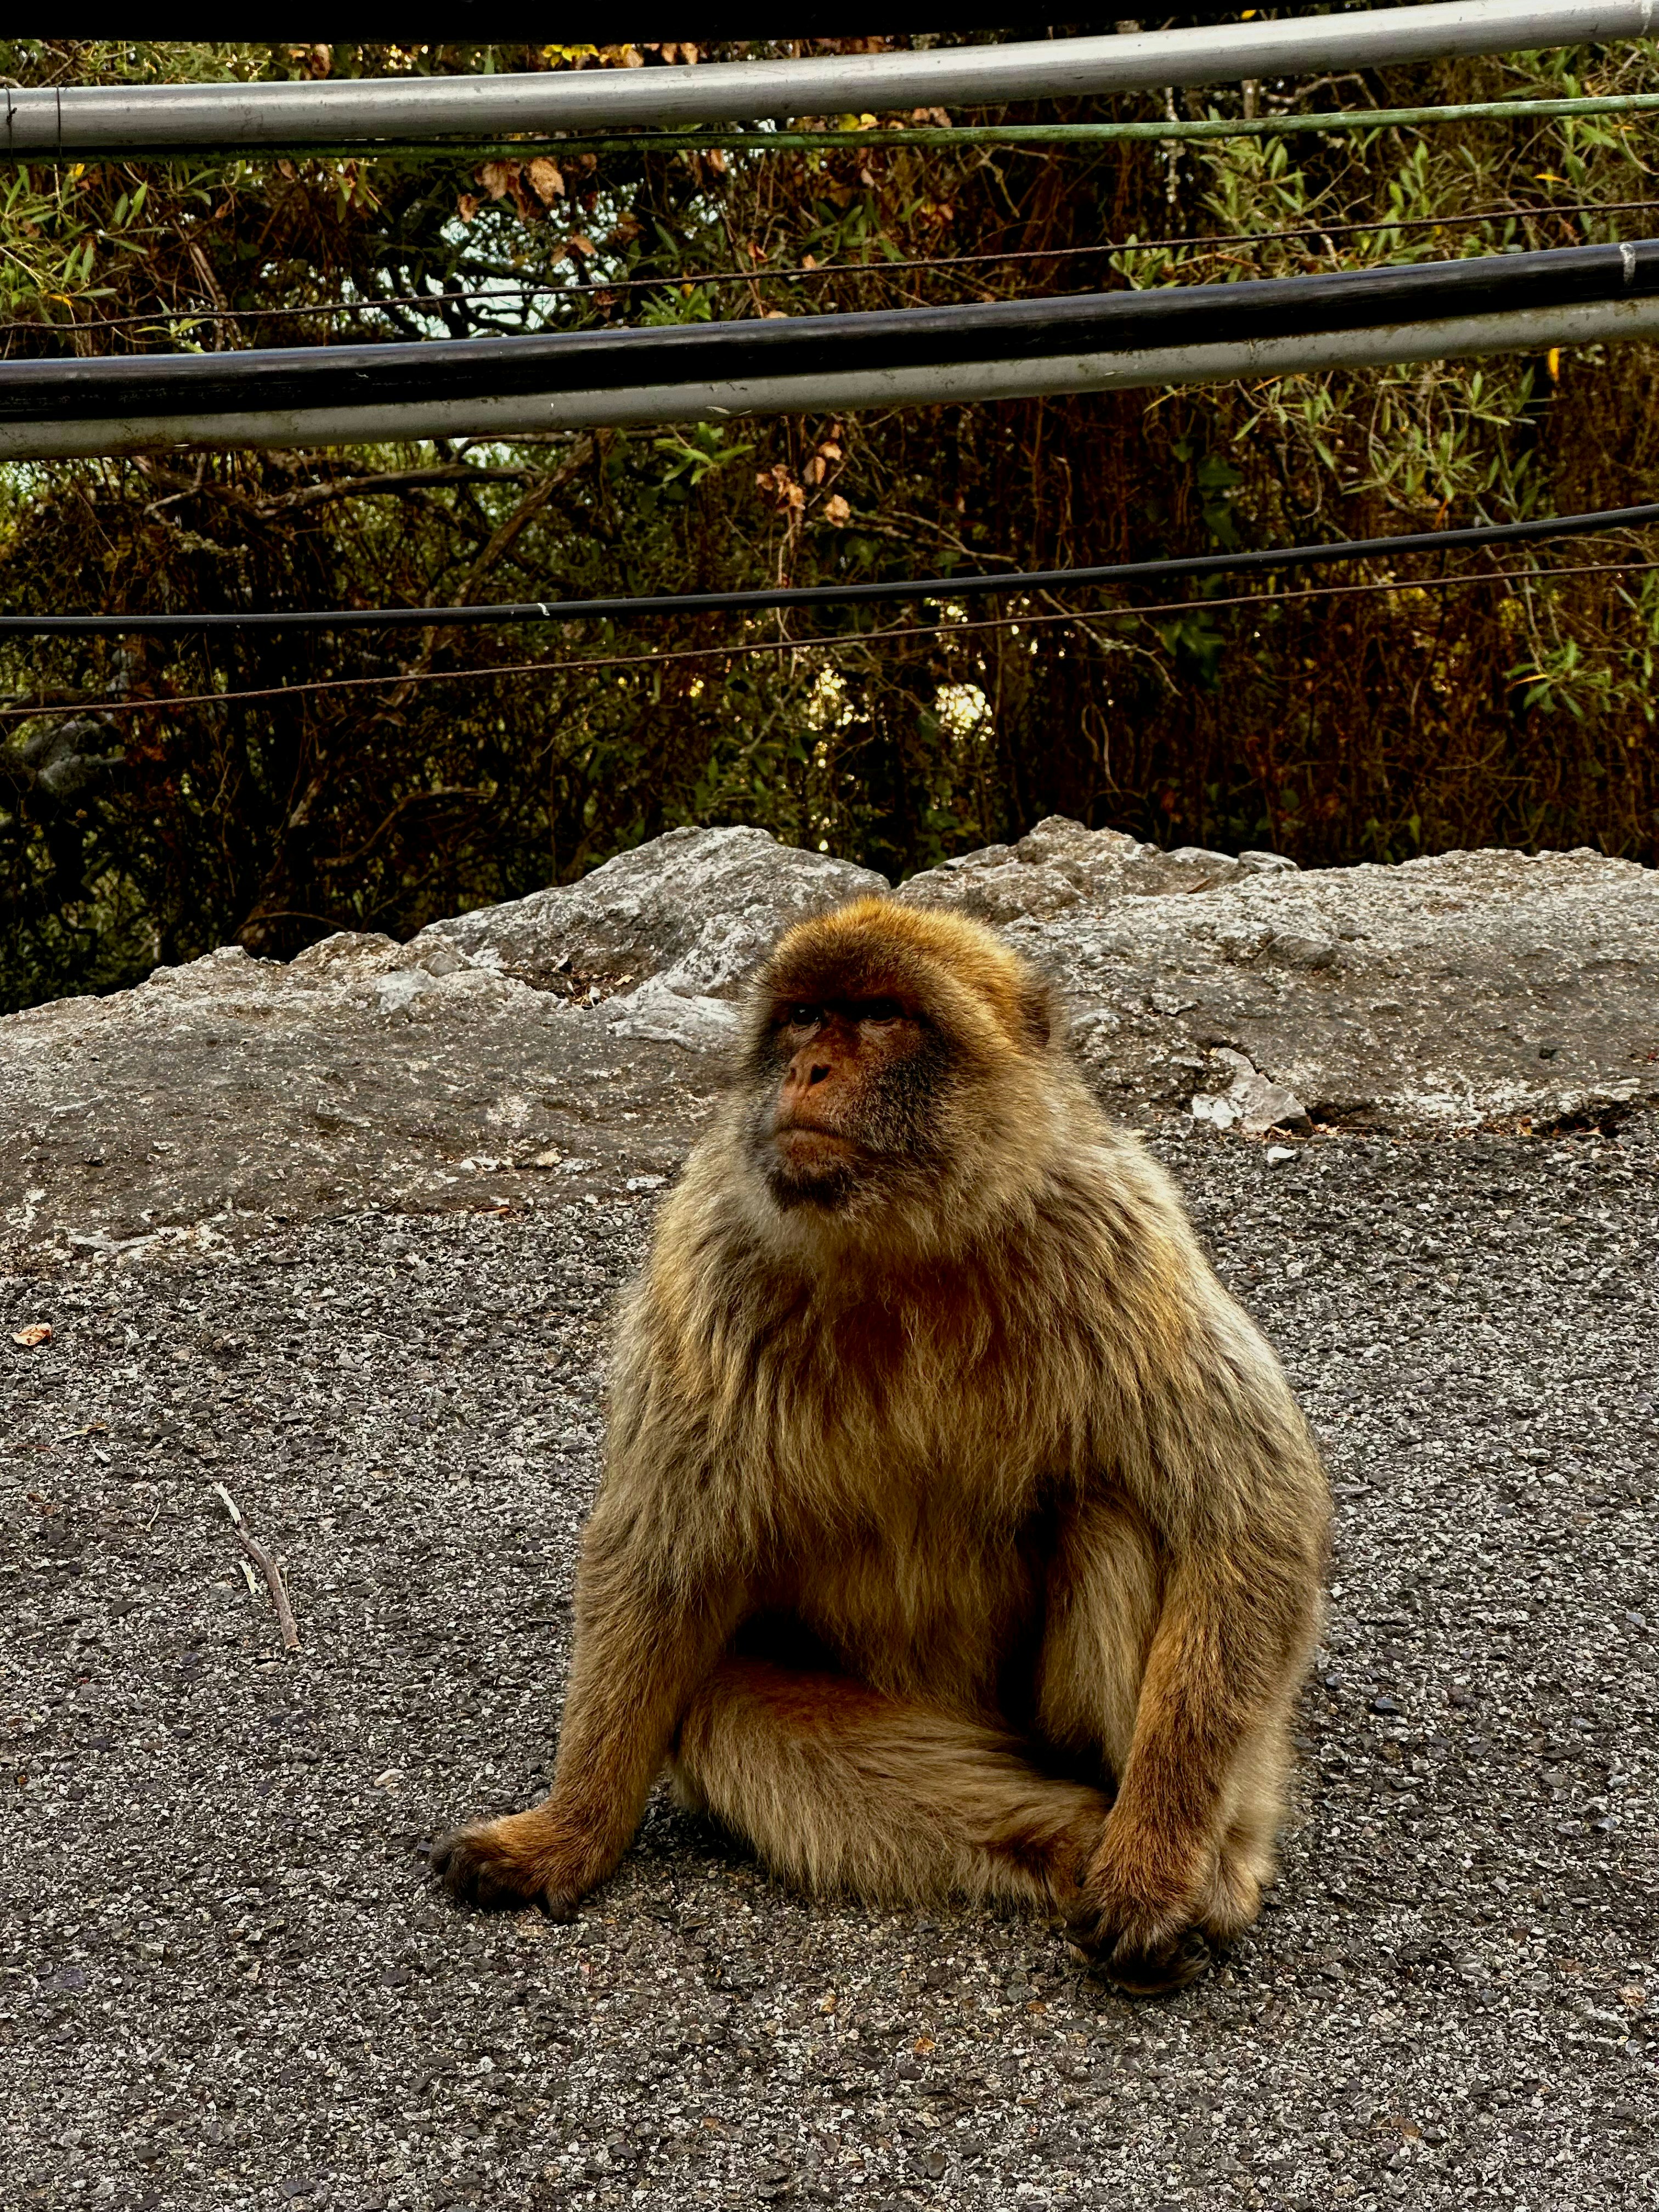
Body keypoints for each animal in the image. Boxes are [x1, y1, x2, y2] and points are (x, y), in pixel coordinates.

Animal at [431, 897, 1330, 1991]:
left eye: (880, 1016)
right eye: (802, 1017)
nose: (808, 1070)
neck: (904, 1248)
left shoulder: (1118, 1240)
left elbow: (1247, 1520)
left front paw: (1158, 1867)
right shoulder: (707, 1263)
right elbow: (656, 1559)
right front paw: (570, 1831)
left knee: (1117, 1517)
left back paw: (1193, 1860)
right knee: (727, 1711)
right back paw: (1065, 1842)